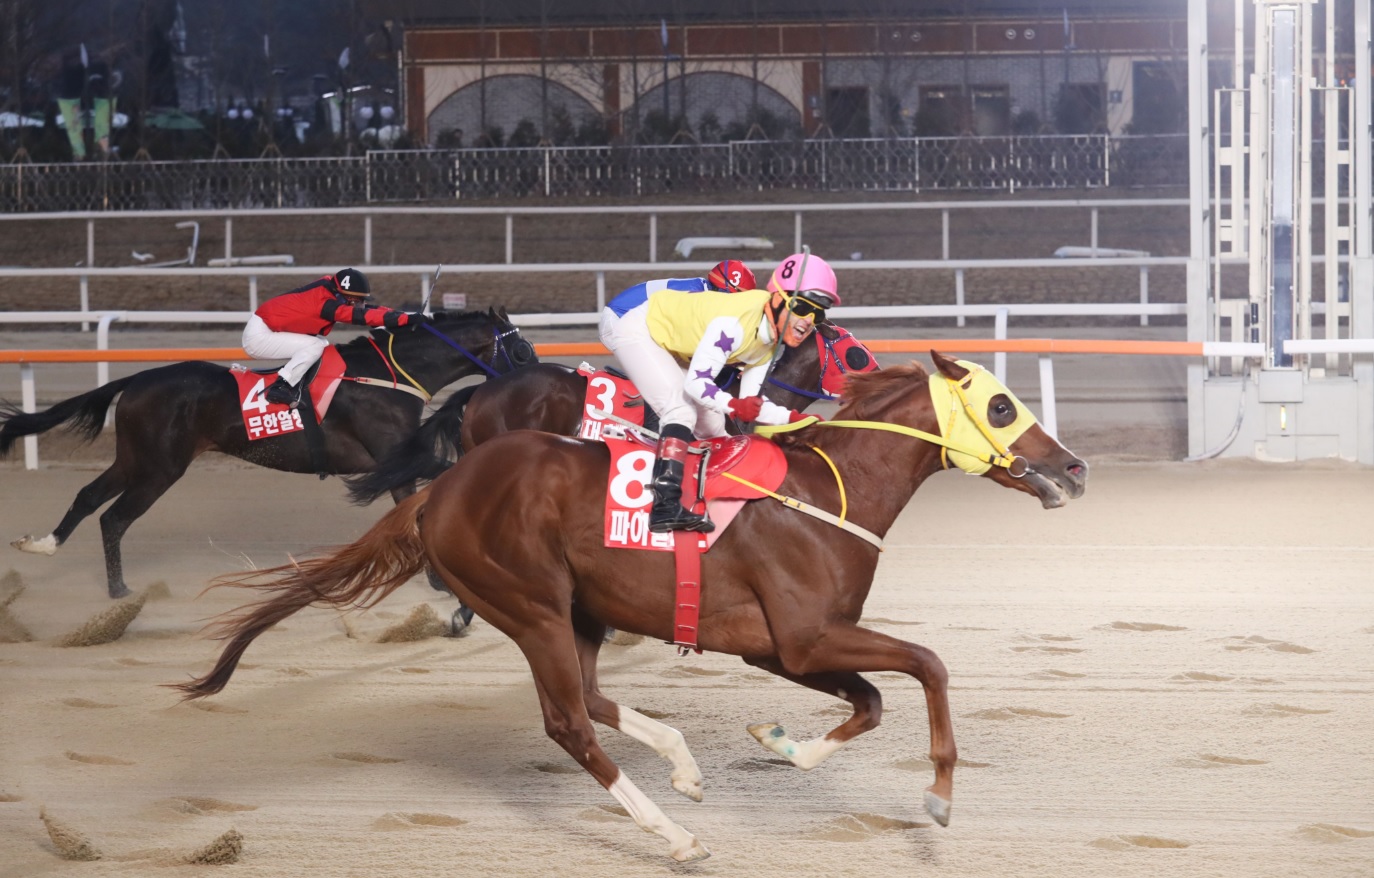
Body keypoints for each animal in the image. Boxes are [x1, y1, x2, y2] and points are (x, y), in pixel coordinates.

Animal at [0, 308, 537, 598]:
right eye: (521, 349)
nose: (535, 370)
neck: (388, 375)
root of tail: (136, 379)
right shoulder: (394, 458)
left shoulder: (398, 465)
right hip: (160, 467)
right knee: (114, 518)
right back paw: (118, 590)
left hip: (136, 458)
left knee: (90, 497)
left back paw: (45, 545)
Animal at [176, 352, 1087, 862]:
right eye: (1001, 406)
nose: (1074, 468)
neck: (827, 490)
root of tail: (441, 491)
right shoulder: (805, 637)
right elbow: (928, 665)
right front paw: (938, 797)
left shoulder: (780, 646)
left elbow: (867, 702)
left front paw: (781, 744)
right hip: (531, 604)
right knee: (568, 722)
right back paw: (677, 837)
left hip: (579, 609)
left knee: (589, 695)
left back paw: (682, 766)